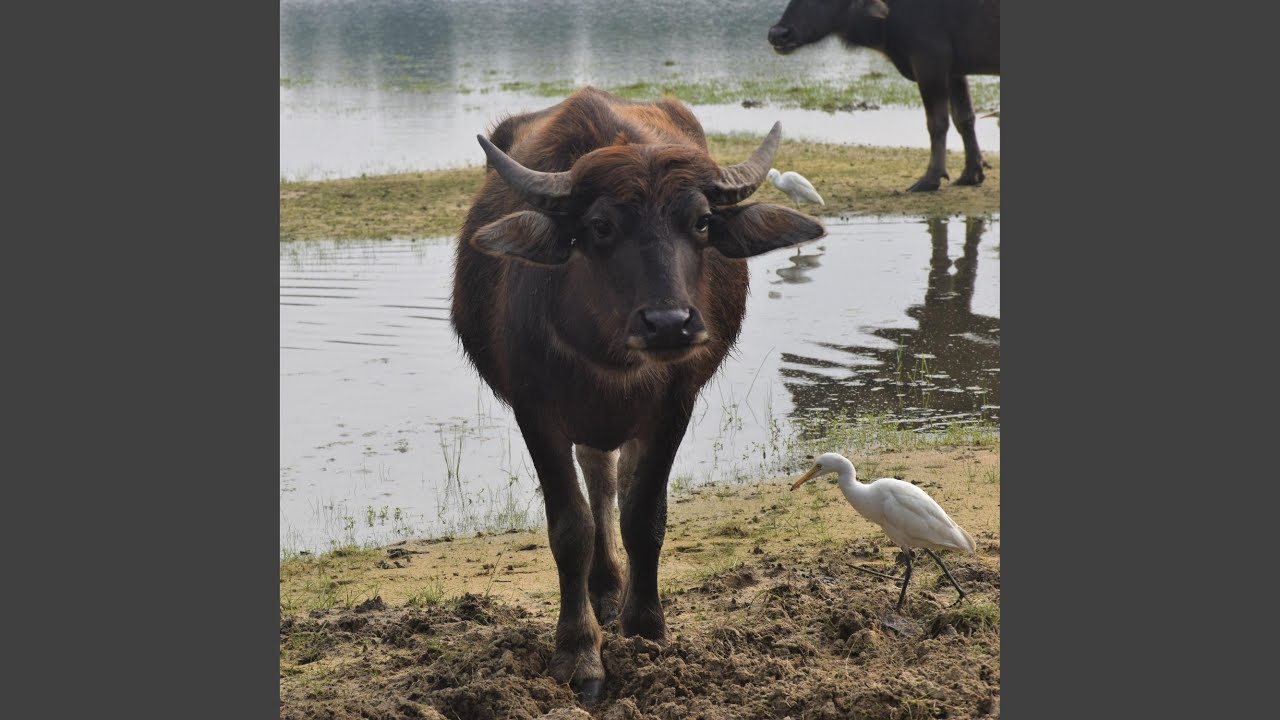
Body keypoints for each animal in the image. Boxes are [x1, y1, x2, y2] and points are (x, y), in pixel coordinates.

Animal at [451, 87, 825, 701]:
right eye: (601, 225)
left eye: (701, 222)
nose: (669, 324)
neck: (609, 350)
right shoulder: (536, 411)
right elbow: (571, 527)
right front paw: (579, 654)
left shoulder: (673, 406)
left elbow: (645, 514)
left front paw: (646, 630)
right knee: (598, 483)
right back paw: (602, 588)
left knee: (615, 484)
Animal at [769, 0, 1000, 192]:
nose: (778, 33)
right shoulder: (954, 71)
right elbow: (964, 119)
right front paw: (971, 174)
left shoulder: (930, 62)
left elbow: (937, 123)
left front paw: (930, 179)